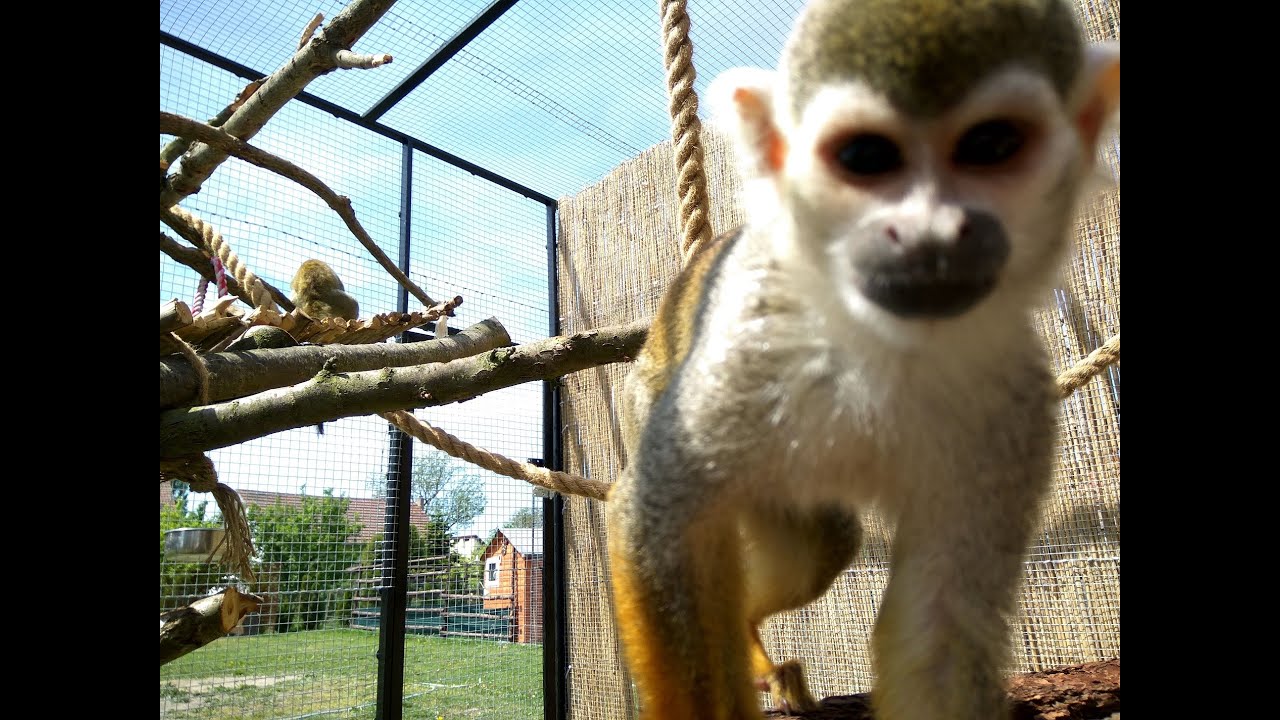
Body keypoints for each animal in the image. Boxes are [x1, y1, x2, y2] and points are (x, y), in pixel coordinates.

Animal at [604, 2, 1119, 719]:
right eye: (865, 158)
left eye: (991, 146)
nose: (932, 234)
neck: (888, 339)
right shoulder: (748, 343)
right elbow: (654, 525)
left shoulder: (1016, 406)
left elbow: (942, 622)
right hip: (648, 397)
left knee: (823, 542)